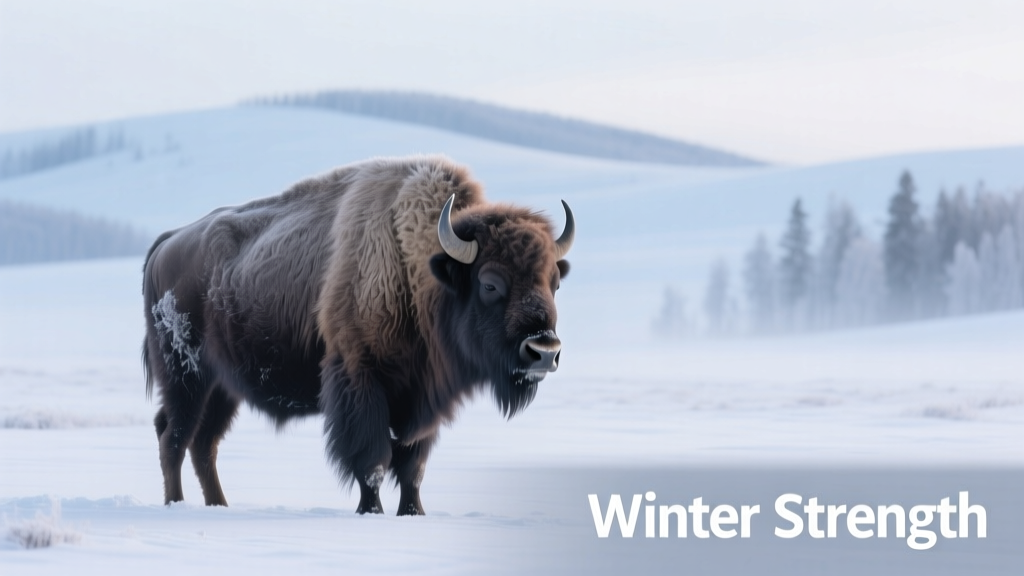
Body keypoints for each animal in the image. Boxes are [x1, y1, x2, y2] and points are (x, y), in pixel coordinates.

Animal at [142, 156, 574, 515]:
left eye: (554, 282)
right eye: (489, 284)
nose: (543, 350)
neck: (417, 268)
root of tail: (167, 242)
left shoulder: (422, 399)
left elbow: (413, 467)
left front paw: (413, 513)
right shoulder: (361, 381)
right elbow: (373, 462)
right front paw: (372, 512)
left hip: (222, 387)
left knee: (203, 444)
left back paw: (219, 505)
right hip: (186, 376)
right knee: (174, 437)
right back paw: (175, 504)